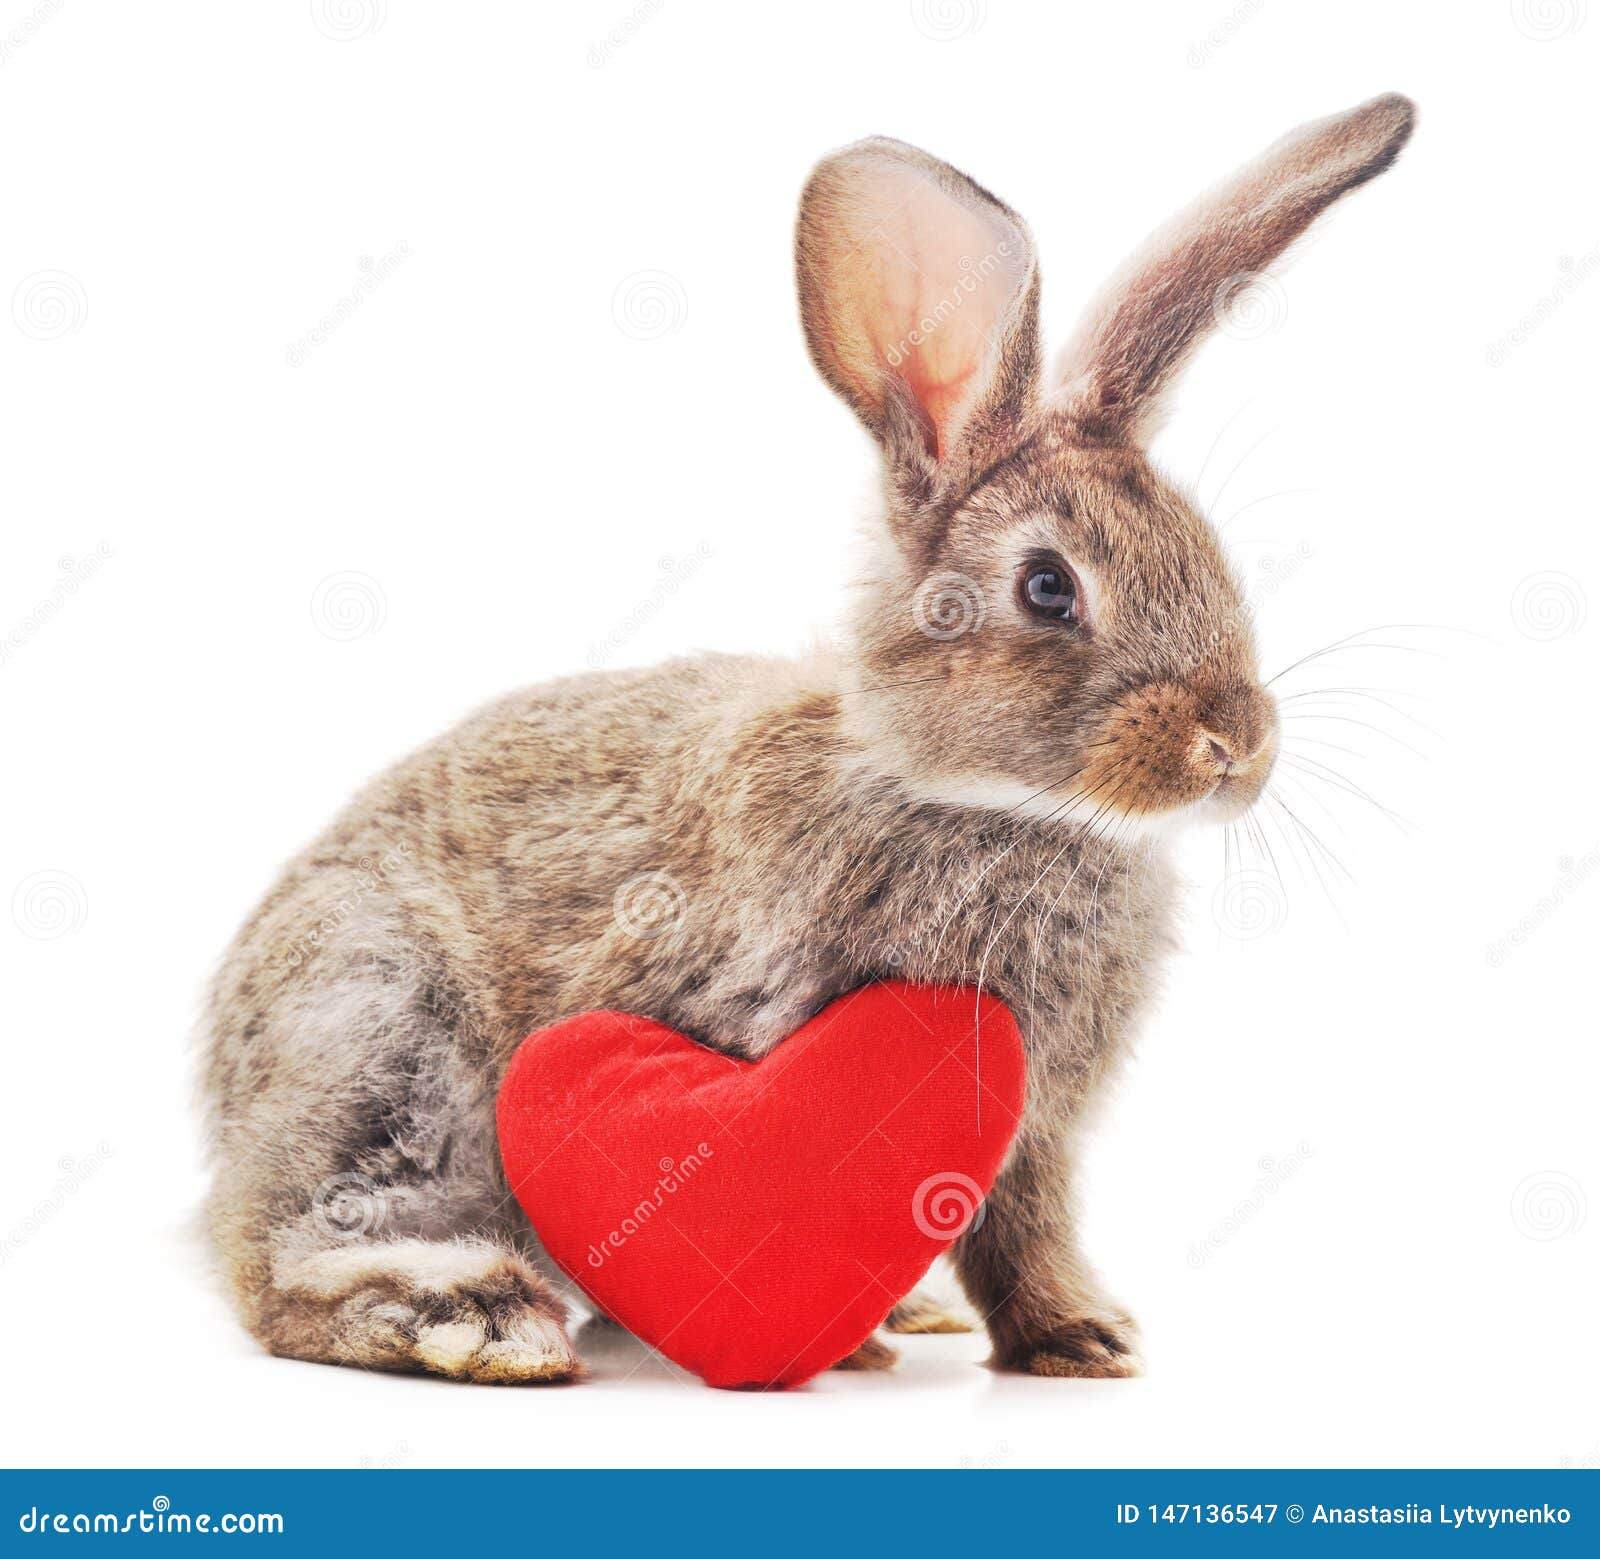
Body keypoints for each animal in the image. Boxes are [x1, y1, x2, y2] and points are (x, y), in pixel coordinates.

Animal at [201, 93, 1415, 1383]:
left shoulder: (1027, 1135)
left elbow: (1021, 1239)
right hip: (377, 1036)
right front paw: (869, 1343)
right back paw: (476, 1314)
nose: (1235, 745)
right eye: (1047, 588)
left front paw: (1077, 1341)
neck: (961, 791)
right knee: (288, 1258)